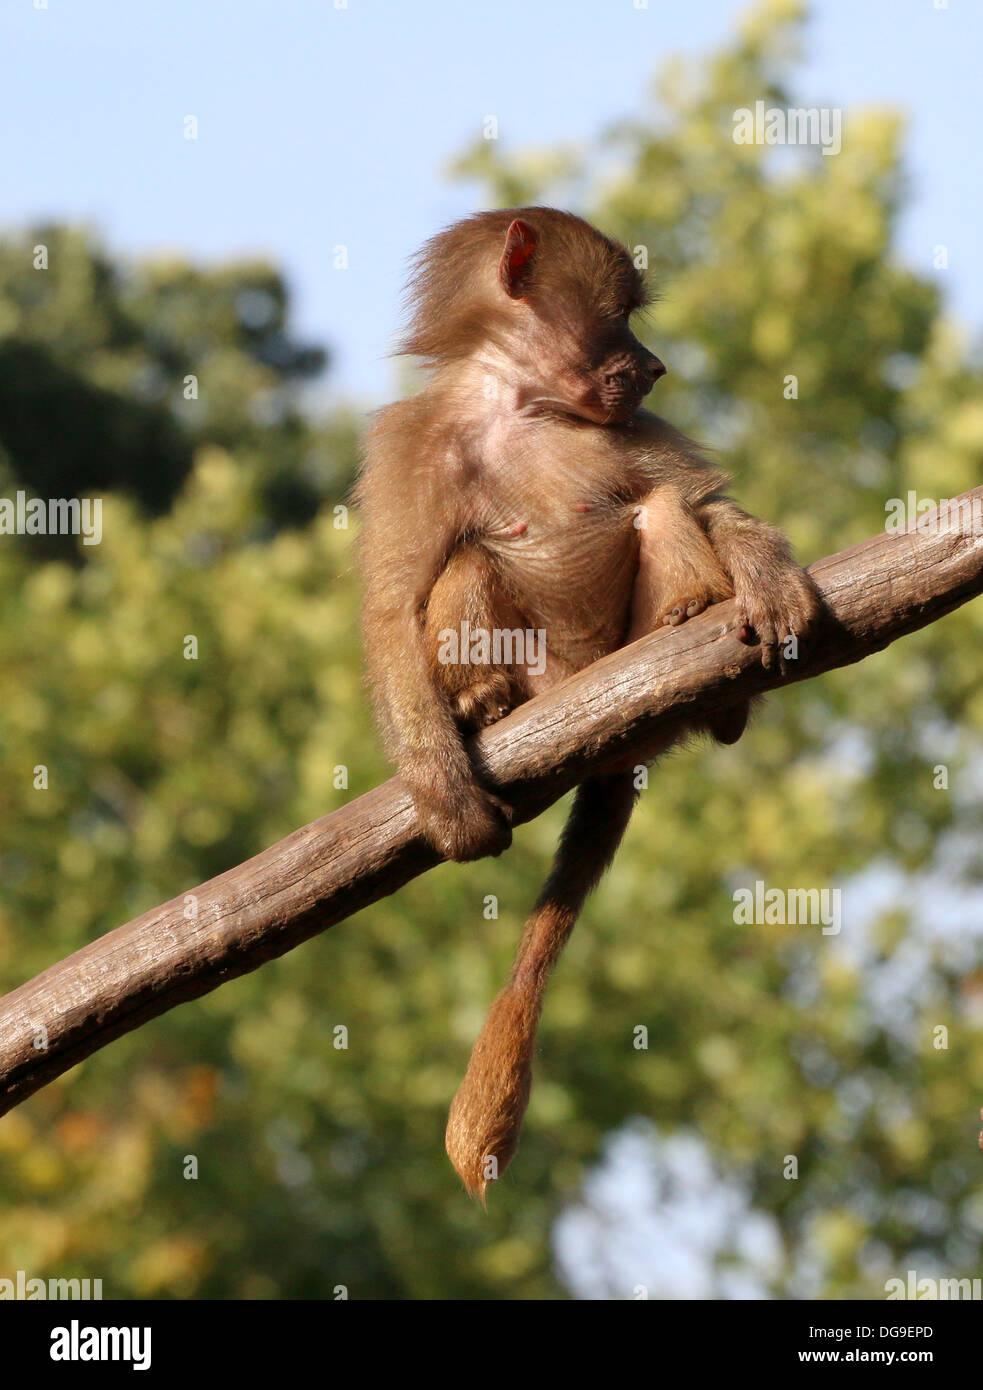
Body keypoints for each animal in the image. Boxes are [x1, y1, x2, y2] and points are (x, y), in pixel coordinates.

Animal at [355, 208, 821, 1201]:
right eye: (623, 315)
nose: (654, 366)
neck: (519, 405)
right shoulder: (411, 443)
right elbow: (394, 607)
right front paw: (443, 794)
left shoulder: (629, 429)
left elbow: (705, 504)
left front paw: (764, 575)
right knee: (470, 561)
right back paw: (486, 705)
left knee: (657, 511)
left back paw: (699, 638)